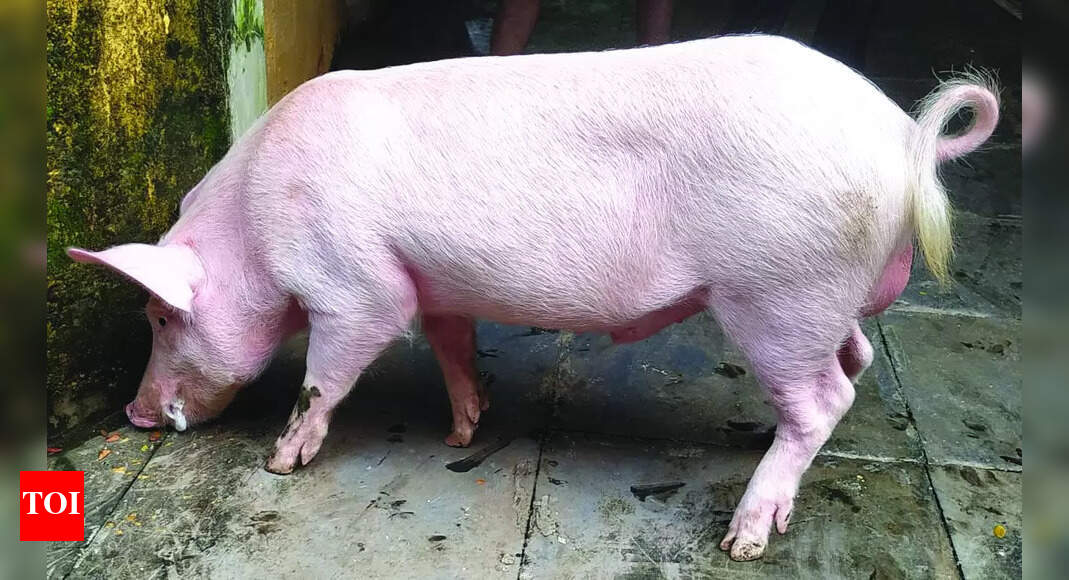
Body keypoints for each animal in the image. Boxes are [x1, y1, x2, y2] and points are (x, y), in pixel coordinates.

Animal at [68, 34, 999, 561]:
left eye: (160, 316)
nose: (135, 414)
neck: (255, 232)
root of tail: (903, 138)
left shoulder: (354, 285)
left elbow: (325, 375)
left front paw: (280, 463)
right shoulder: (430, 280)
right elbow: (450, 344)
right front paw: (462, 429)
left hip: (778, 290)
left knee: (823, 398)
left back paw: (743, 539)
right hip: (816, 295)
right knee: (857, 352)